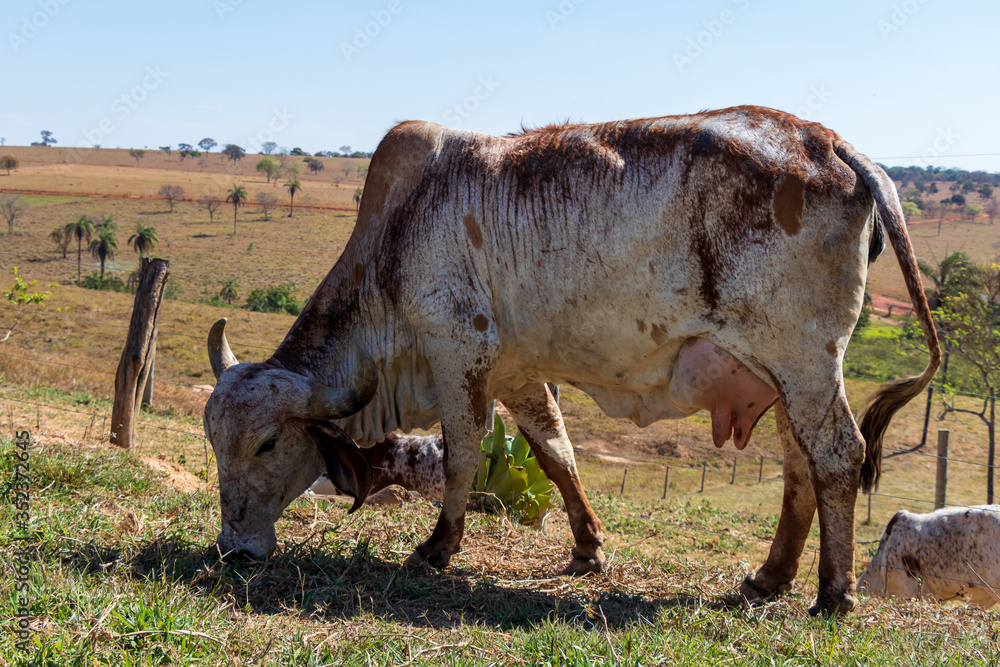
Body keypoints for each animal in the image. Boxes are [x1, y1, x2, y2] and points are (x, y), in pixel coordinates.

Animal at [203, 105, 940, 615]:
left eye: (267, 443)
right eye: (215, 444)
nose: (234, 548)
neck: (396, 231)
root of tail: (830, 141)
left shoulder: (457, 350)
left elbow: (463, 454)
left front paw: (438, 547)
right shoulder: (517, 371)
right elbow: (556, 453)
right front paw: (588, 547)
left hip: (805, 362)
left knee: (838, 457)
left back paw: (834, 593)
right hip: (784, 373)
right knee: (799, 468)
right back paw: (770, 576)